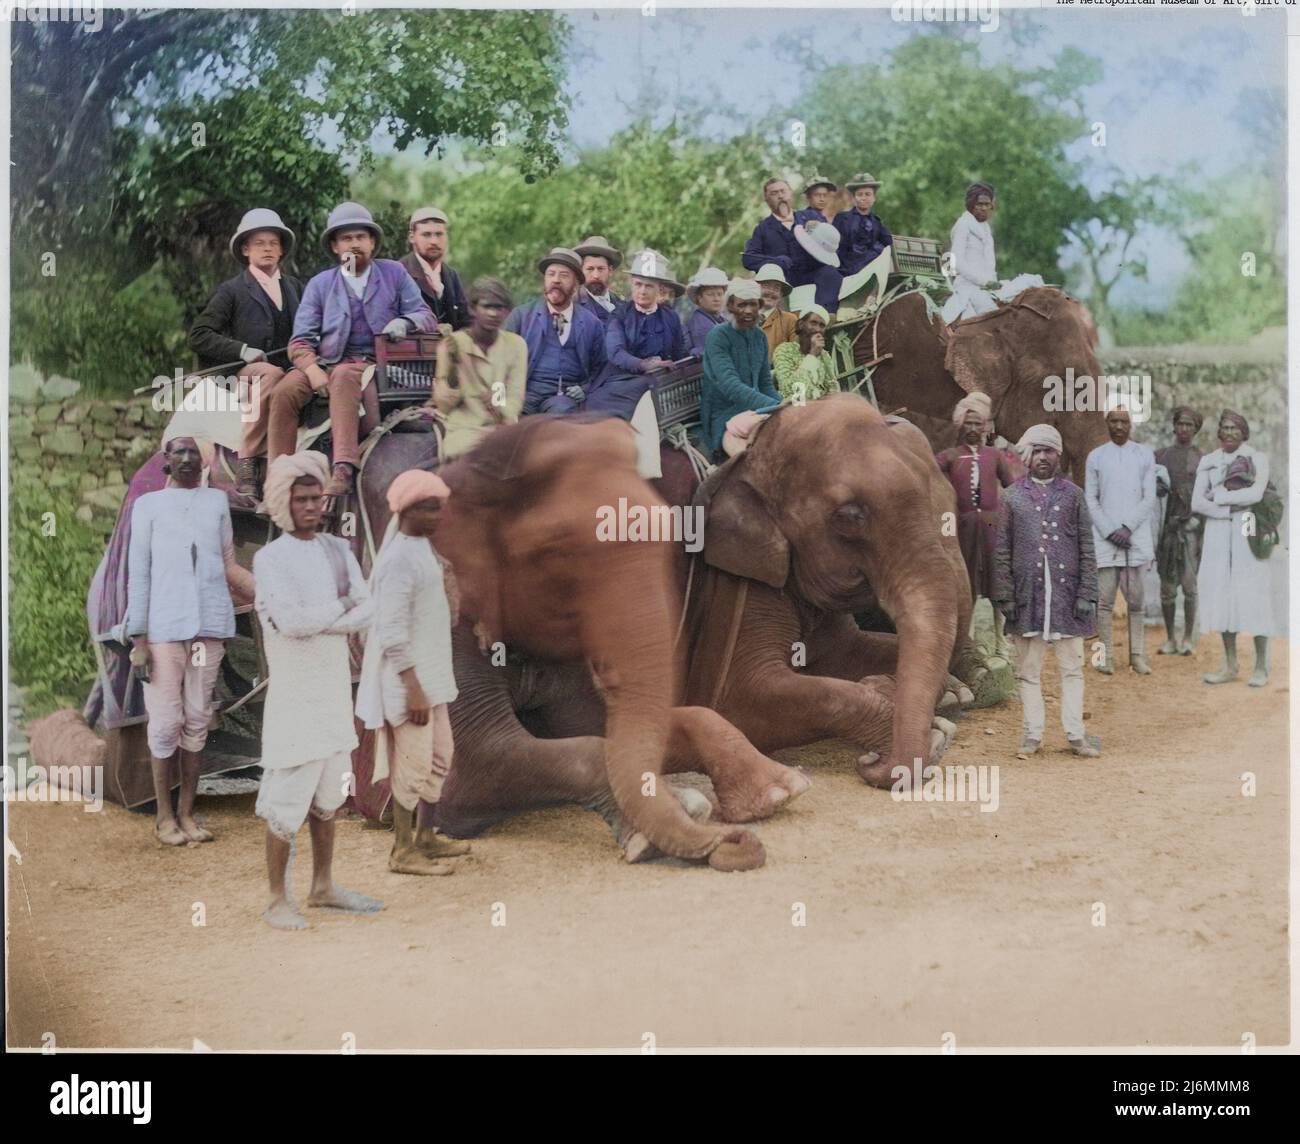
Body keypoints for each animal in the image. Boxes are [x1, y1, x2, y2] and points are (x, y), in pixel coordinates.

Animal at [351, 415, 811, 871]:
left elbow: (602, 726)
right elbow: (487, 764)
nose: (737, 844)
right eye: (558, 551)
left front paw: (779, 790)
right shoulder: (441, 614)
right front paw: (659, 827)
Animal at [679, 393, 970, 790]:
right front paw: (917, 725)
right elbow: (743, 698)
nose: (872, 761)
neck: (755, 453)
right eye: (849, 516)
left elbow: (855, 651)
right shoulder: (739, 583)